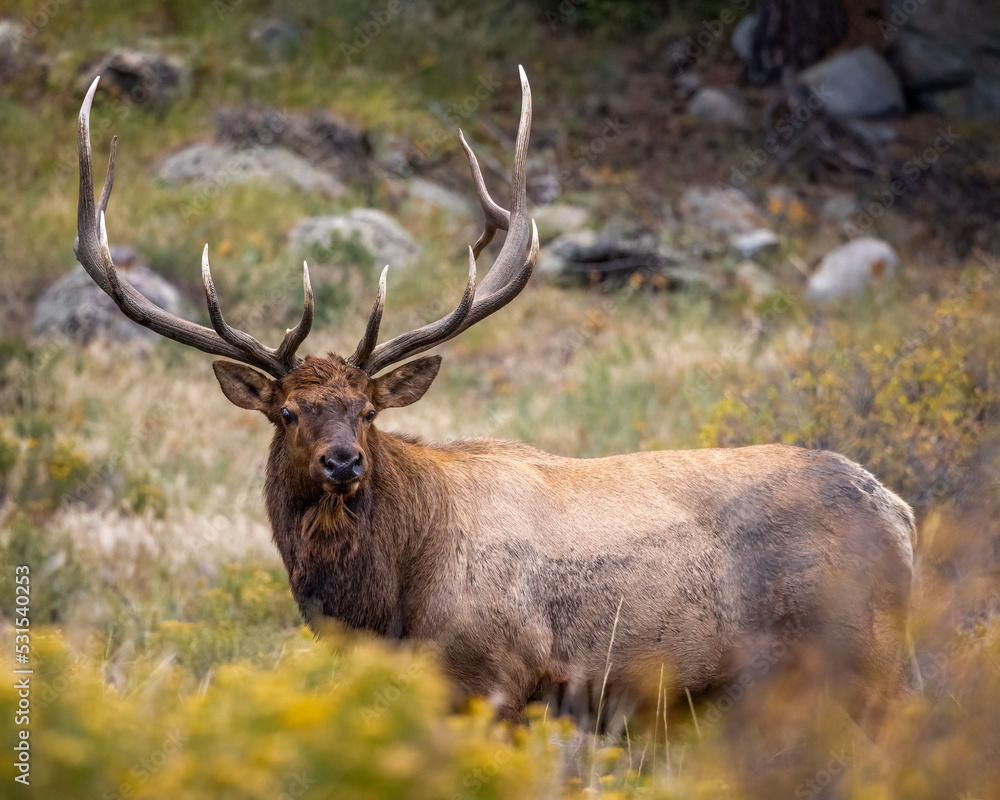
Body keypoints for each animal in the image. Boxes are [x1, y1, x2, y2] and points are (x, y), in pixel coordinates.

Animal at [74, 68, 918, 735]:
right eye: (287, 413)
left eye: (369, 412)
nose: (344, 462)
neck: (387, 606)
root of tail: (901, 512)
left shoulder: (499, 679)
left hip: (864, 657)